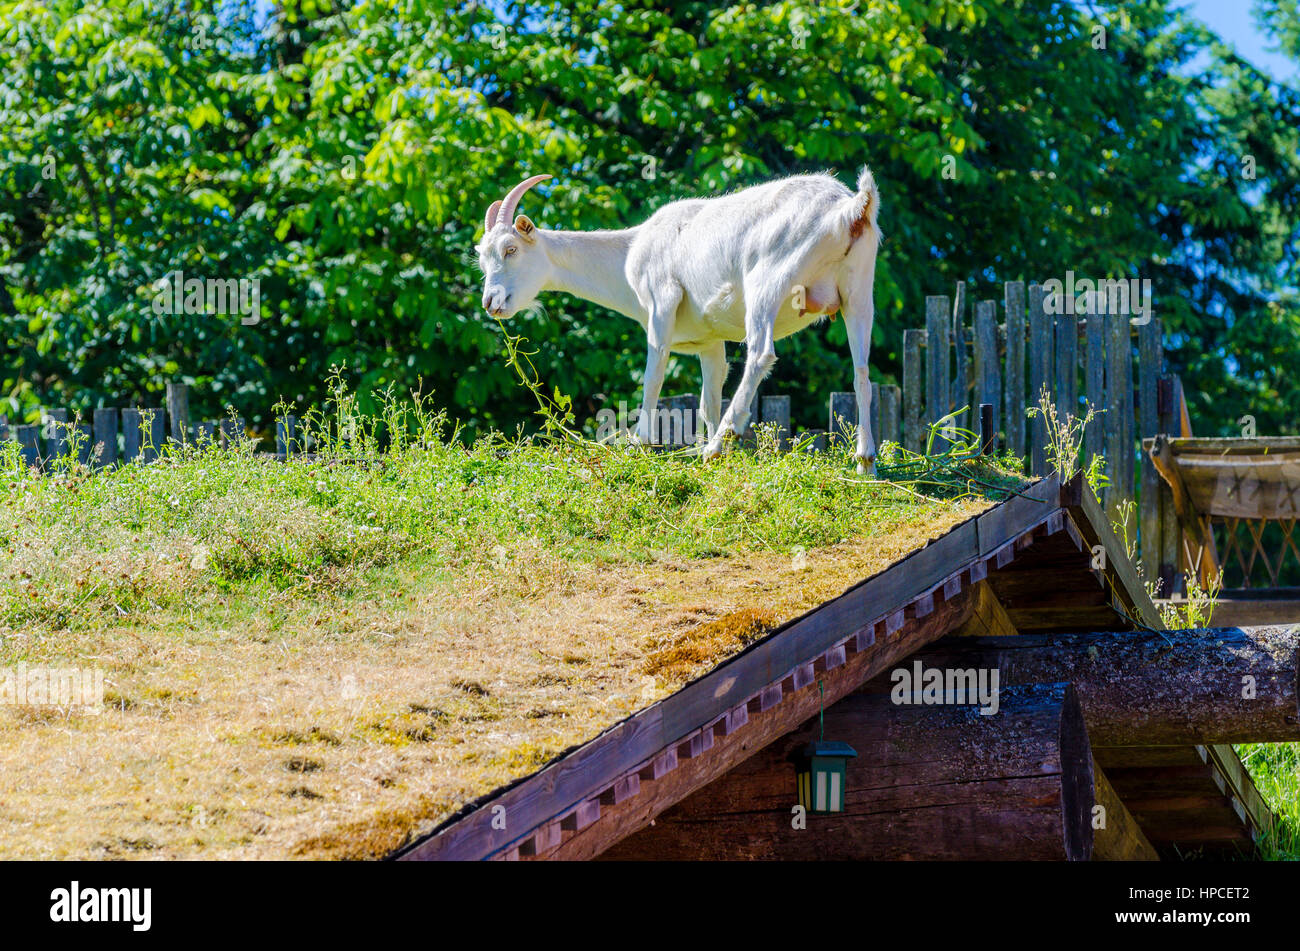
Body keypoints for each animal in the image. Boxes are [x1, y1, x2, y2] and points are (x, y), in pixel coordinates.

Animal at [477, 168, 881, 473]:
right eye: (482, 257)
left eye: (510, 249)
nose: (490, 302)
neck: (630, 251)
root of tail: (850, 209)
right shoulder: (709, 342)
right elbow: (708, 400)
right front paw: (709, 449)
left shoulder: (661, 304)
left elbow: (653, 376)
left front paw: (639, 443)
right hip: (858, 290)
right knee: (861, 370)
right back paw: (865, 462)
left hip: (768, 280)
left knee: (762, 353)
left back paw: (721, 442)